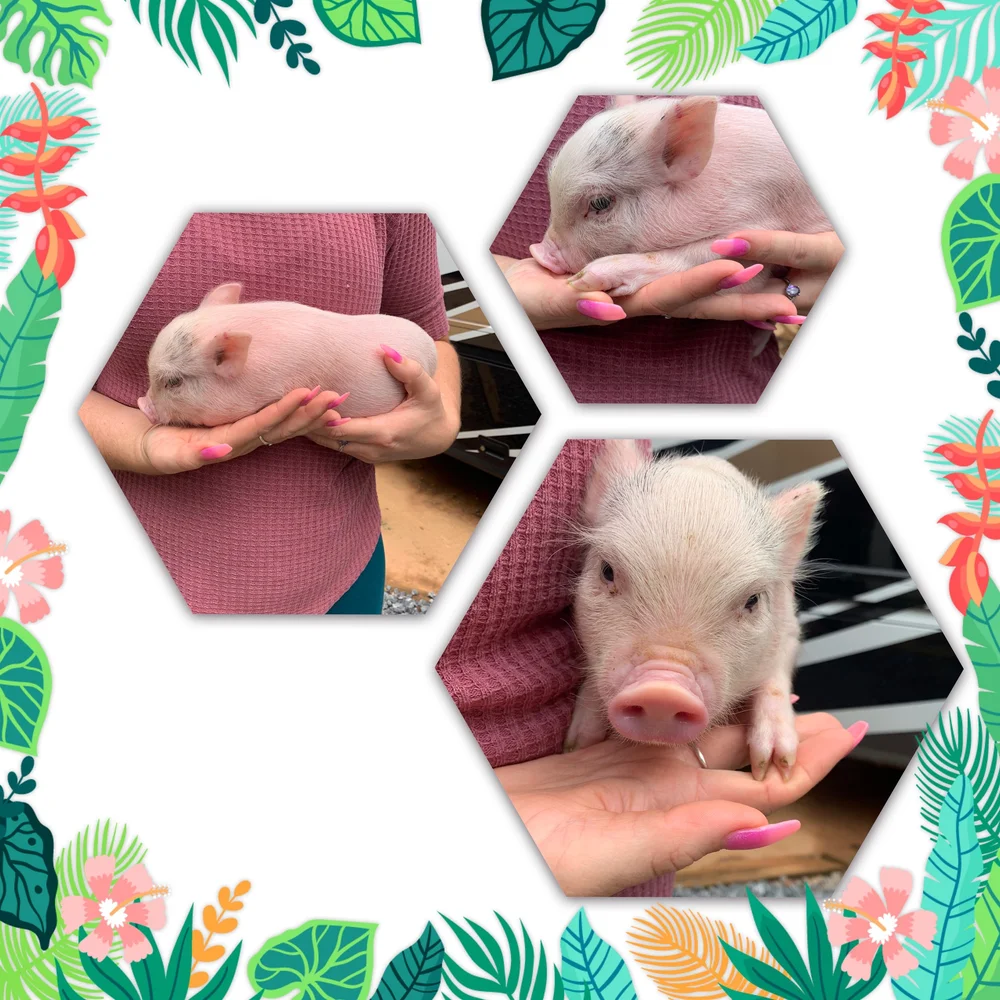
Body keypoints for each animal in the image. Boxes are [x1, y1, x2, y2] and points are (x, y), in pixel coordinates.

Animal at [566, 440, 825, 781]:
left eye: (753, 600)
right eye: (607, 571)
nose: (662, 691)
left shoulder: (790, 628)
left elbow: (775, 678)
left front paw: (773, 770)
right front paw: (577, 744)